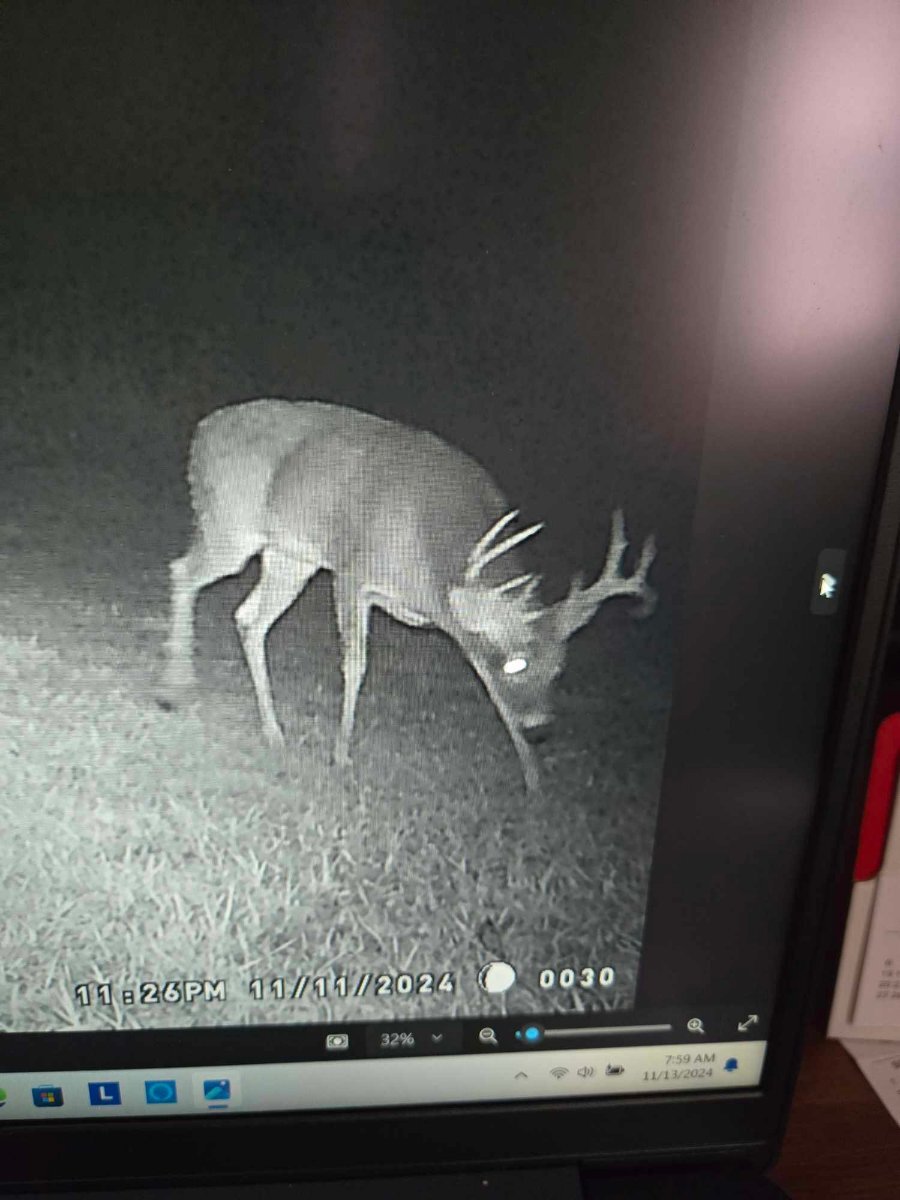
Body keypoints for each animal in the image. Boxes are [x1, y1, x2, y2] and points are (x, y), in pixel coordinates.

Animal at [162, 399, 657, 792]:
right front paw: (341, 754)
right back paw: (176, 688)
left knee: (249, 618)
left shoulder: (457, 621)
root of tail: (202, 430)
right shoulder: (353, 570)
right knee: (183, 571)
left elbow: (488, 686)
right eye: (516, 663)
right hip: (231, 525)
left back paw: (272, 731)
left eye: (558, 667)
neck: (432, 553)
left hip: (290, 555)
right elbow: (356, 664)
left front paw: (533, 777)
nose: (539, 725)